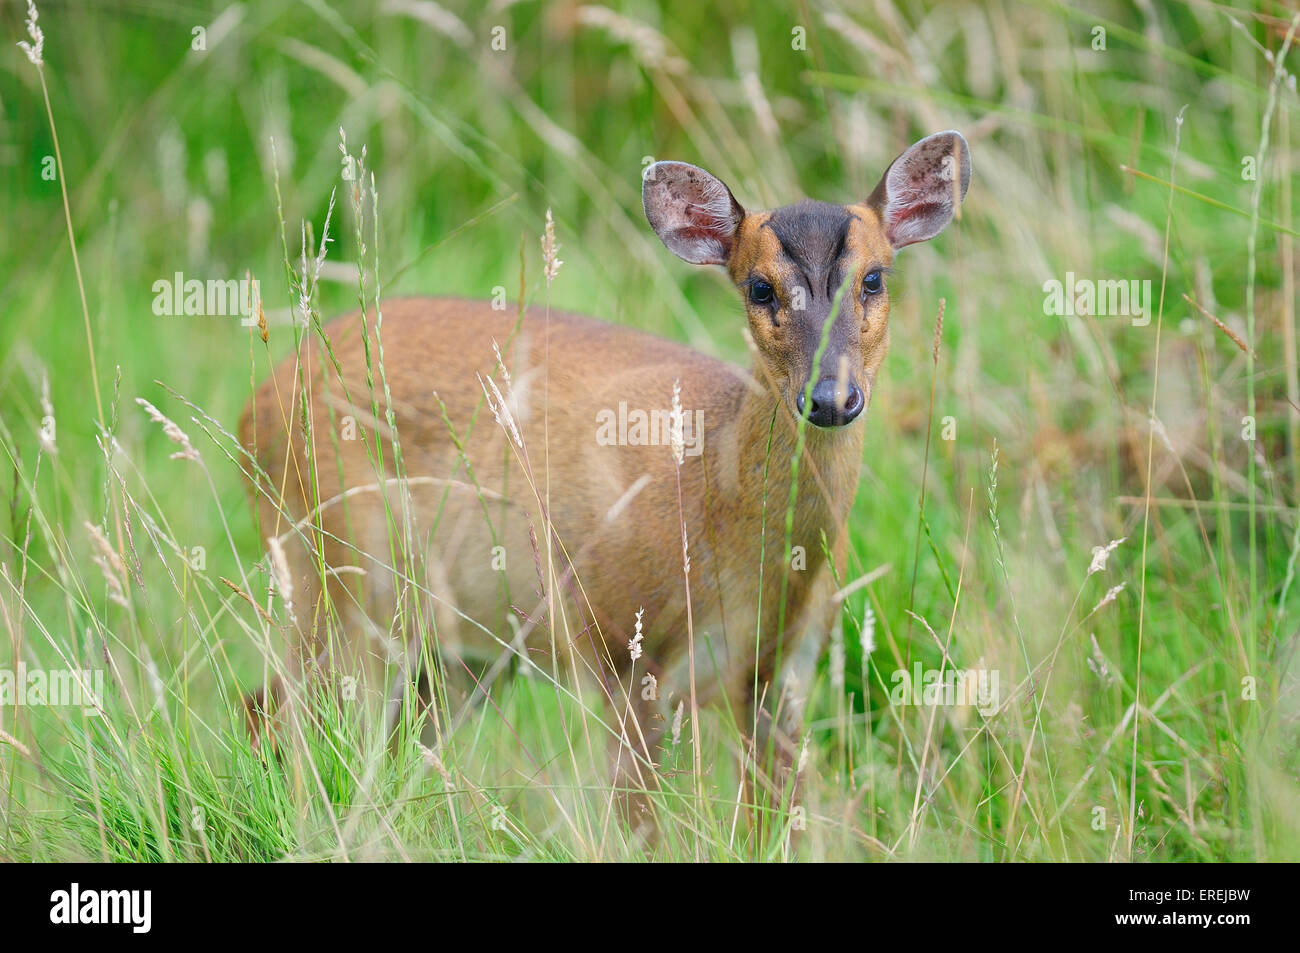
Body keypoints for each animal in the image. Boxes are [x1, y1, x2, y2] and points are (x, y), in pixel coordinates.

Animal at [240, 130, 970, 822]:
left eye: (874, 278)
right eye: (758, 286)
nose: (830, 397)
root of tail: (257, 404)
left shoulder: (785, 674)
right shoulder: (621, 646)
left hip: (460, 650)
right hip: (339, 573)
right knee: (280, 714)